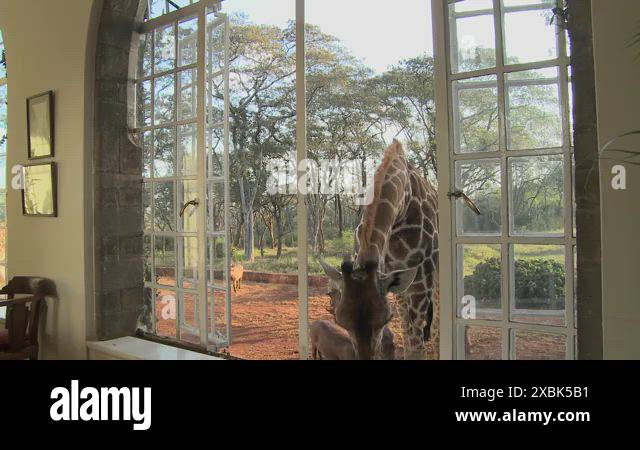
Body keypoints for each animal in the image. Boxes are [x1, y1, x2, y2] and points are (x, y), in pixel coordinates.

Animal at [320, 140, 439, 360]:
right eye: (340, 321)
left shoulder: (422, 279)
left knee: (434, 327)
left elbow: (417, 343)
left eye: (386, 318)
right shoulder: (392, 275)